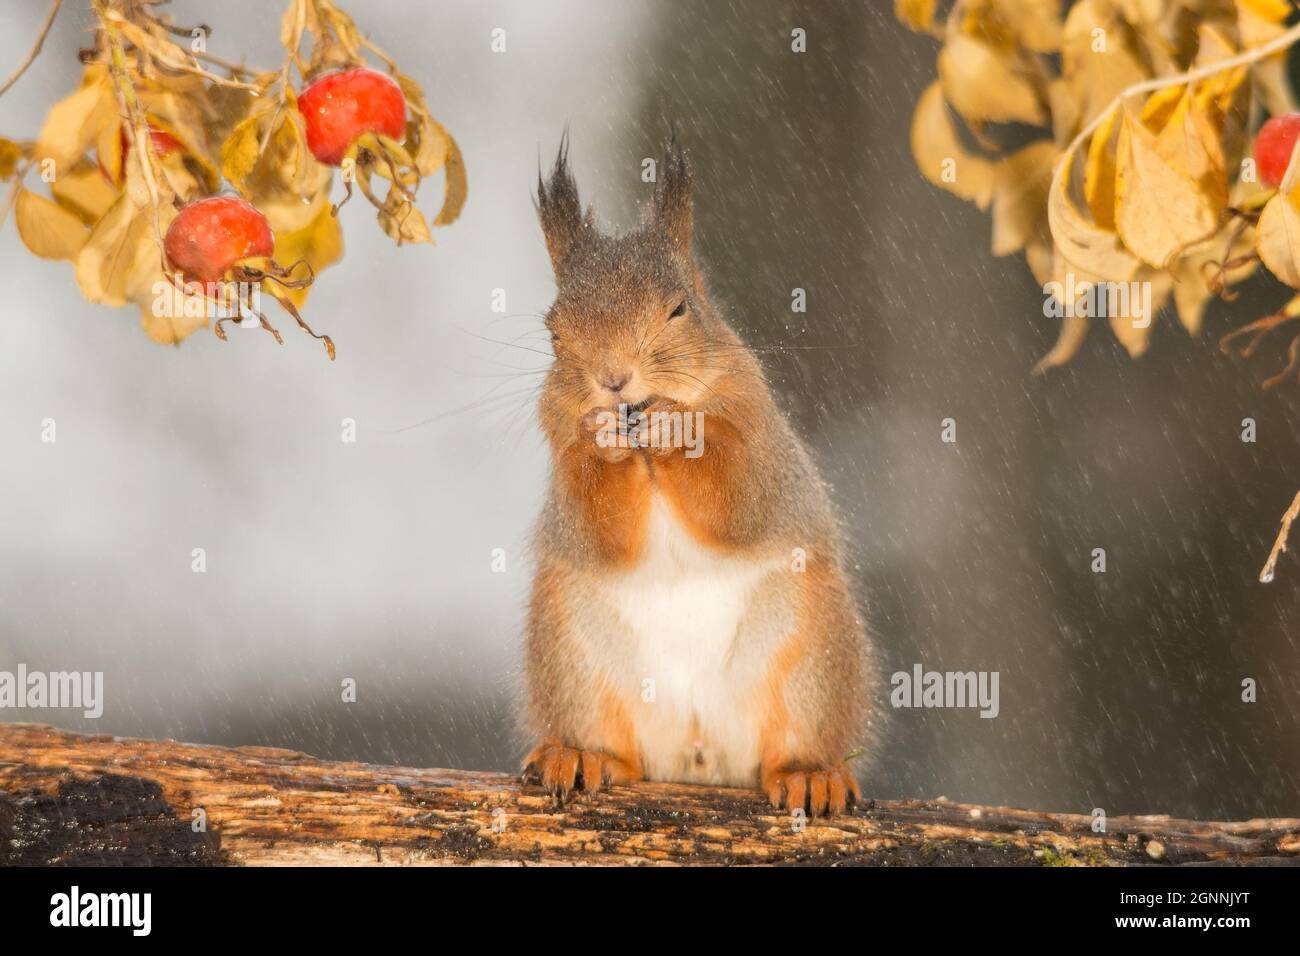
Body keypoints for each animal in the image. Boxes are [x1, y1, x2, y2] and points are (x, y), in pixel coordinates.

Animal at [521, 135, 875, 817]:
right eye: (553, 334)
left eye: (680, 308)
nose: (613, 379)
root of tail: (698, 757)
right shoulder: (558, 455)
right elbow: (598, 523)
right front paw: (603, 438)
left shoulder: (758, 438)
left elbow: (734, 498)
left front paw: (677, 430)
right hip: (575, 655)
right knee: (618, 751)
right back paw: (581, 757)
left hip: (810, 653)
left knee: (791, 747)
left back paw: (810, 775)